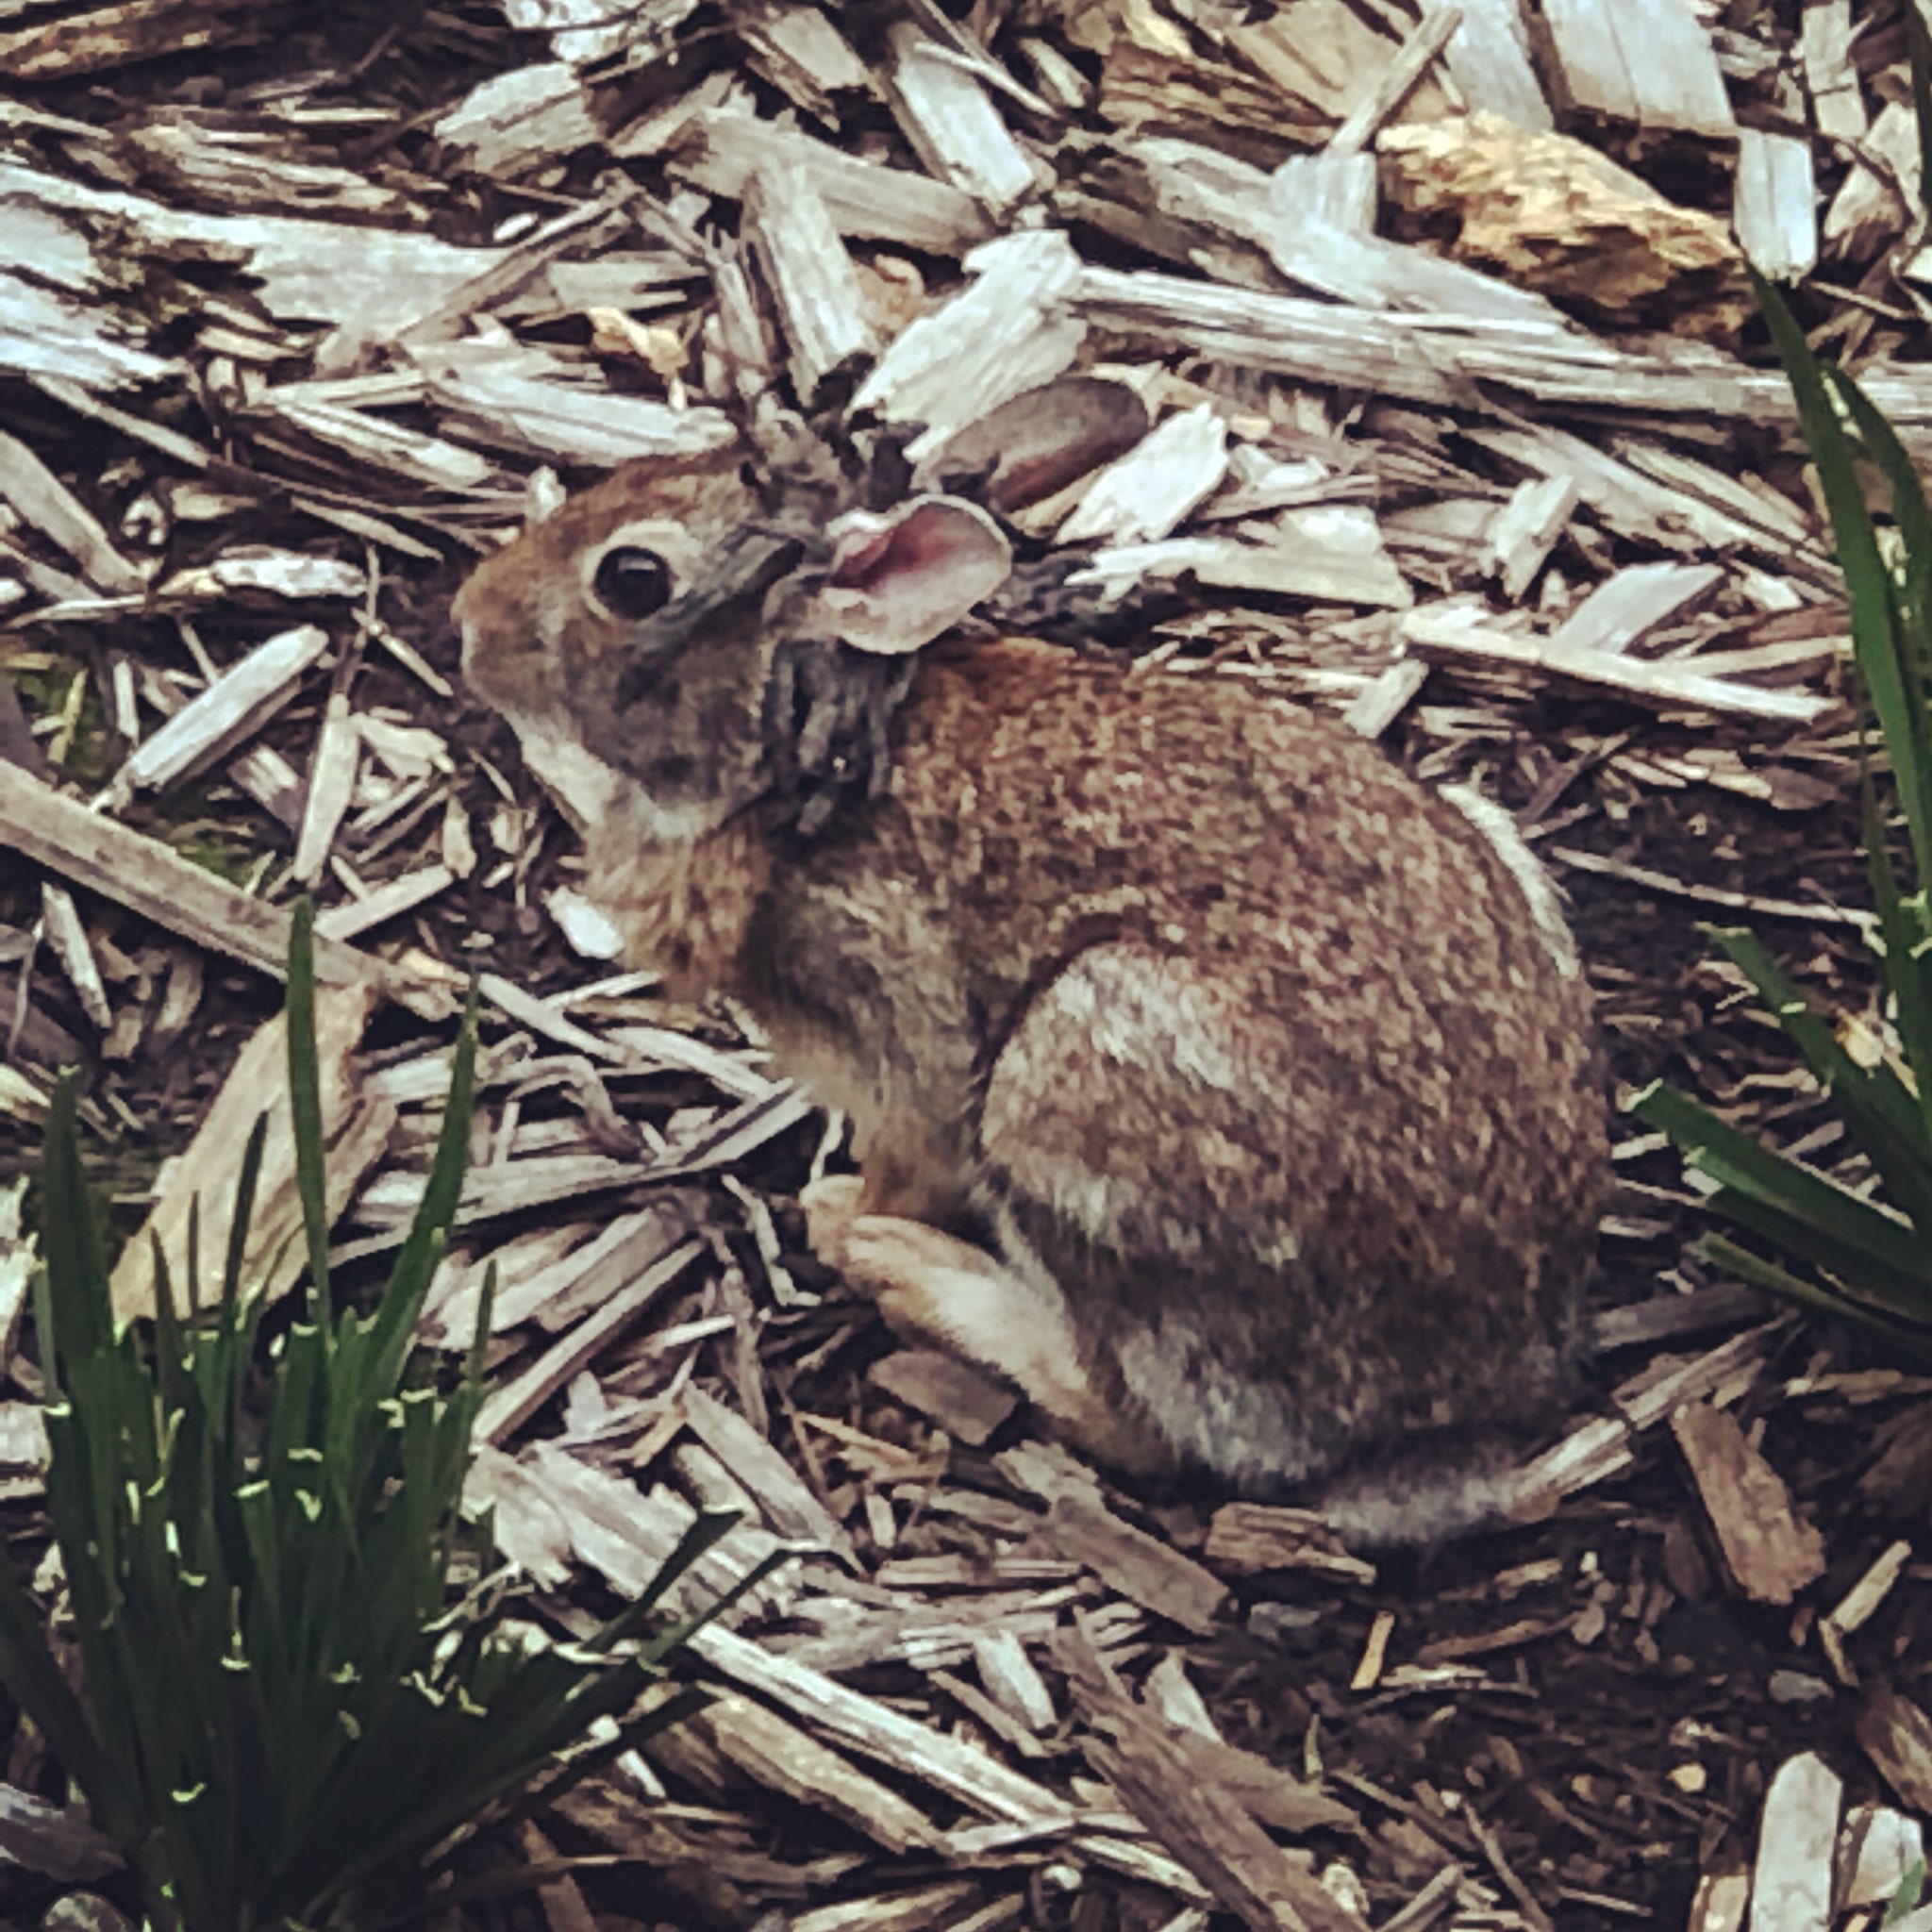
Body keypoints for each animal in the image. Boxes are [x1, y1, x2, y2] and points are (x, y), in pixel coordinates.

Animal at [454, 378, 1608, 1546]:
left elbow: (910, 1153)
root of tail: (1477, 1390)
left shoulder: (900, 1033)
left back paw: (908, 1271)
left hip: (1079, 1082)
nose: (467, 622)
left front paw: (849, 1213)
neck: (790, 755)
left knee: (1138, 1426)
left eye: (632, 579)